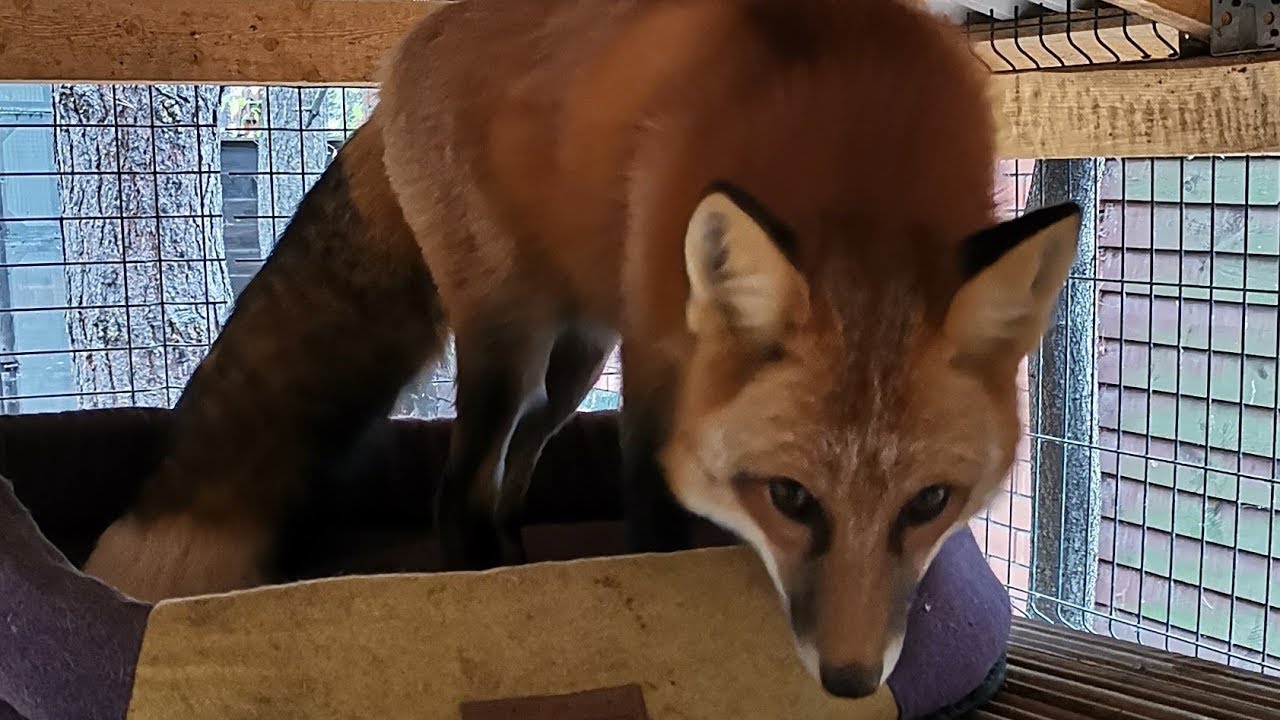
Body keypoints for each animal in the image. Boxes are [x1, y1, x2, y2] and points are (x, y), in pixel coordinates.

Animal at [83, 0, 1081, 700]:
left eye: (930, 503)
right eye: (792, 499)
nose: (850, 681)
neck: (854, 155)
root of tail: (400, 56)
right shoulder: (655, 361)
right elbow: (653, 529)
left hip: (574, 361)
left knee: (513, 477)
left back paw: (523, 559)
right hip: (513, 346)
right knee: (457, 492)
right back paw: (488, 580)